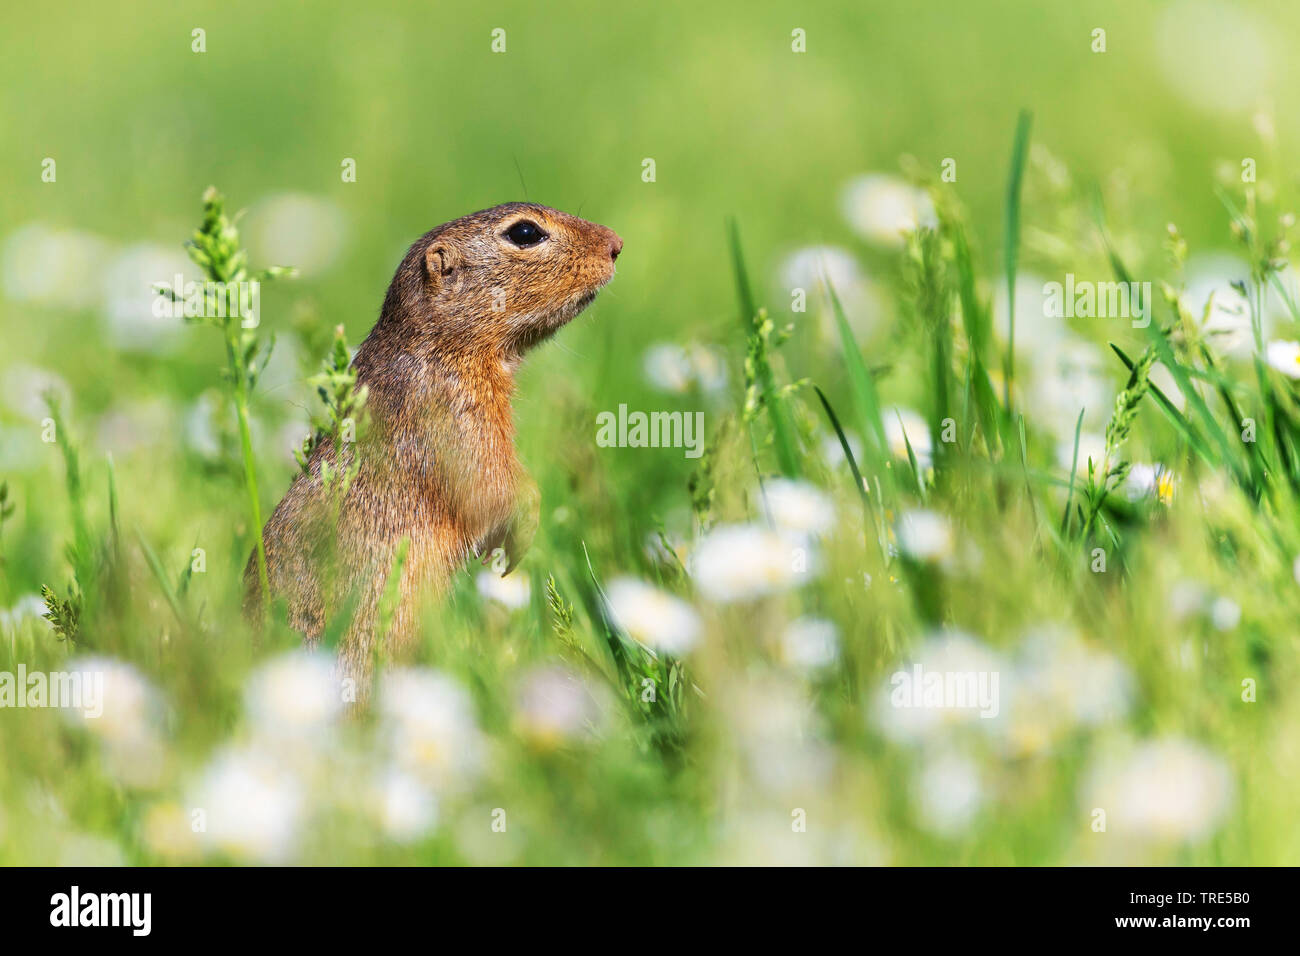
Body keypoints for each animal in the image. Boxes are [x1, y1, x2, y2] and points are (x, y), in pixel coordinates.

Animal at [245, 202, 622, 683]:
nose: (616, 243)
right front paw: (517, 537)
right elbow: (490, 483)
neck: (440, 347)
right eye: (525, 233)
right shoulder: (456, 418)